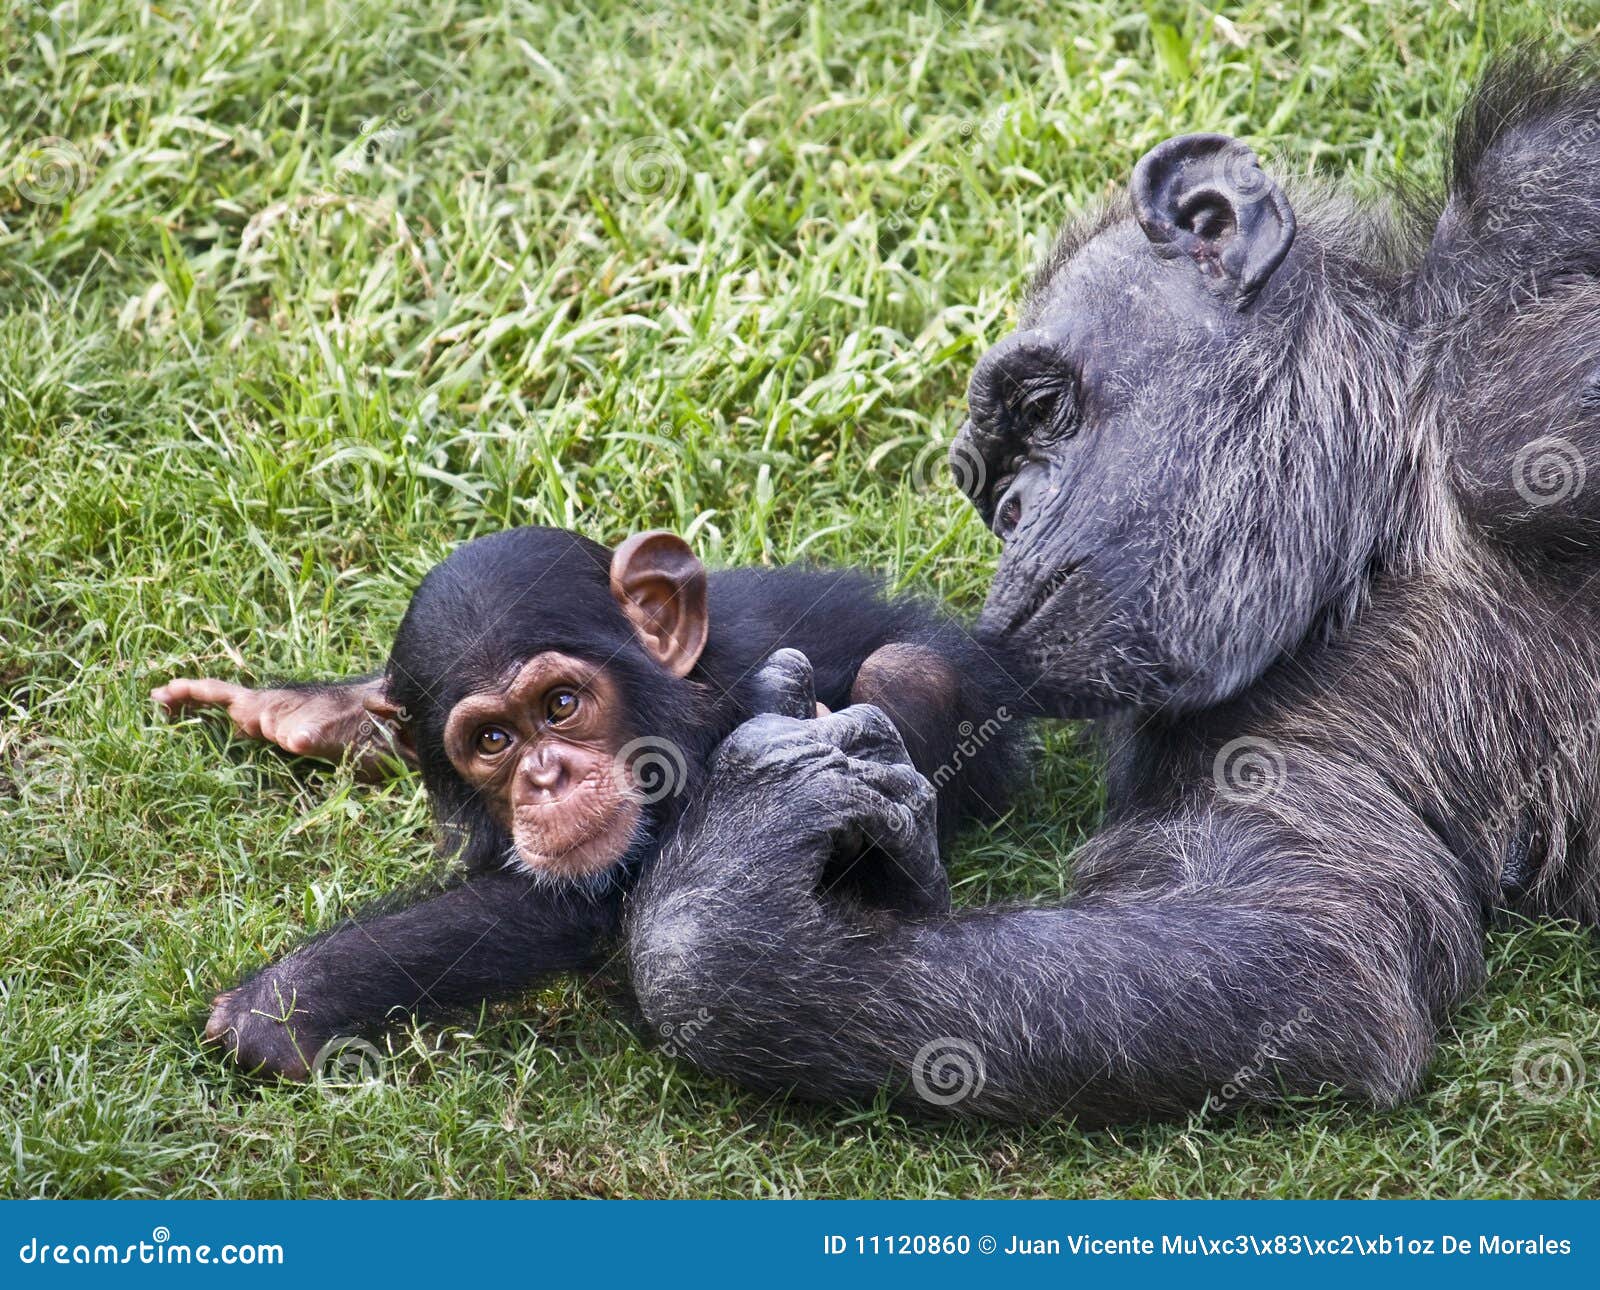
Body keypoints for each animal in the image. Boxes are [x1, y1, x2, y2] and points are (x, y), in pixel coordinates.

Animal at [165, 526, 1029, 1078]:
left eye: (561, 705)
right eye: (492, 742)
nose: (548, 779)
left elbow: (586, 902)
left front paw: (283, 1004)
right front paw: (300, 708)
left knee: (908, 669)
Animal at [623, 51, 1600, 1124]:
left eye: (1041, 409)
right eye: (993, 492)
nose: (1016, 515)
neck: (1386, 497)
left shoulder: (1541, 193)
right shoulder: (1232, 734)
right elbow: (1300, 943)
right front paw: (739, 881)